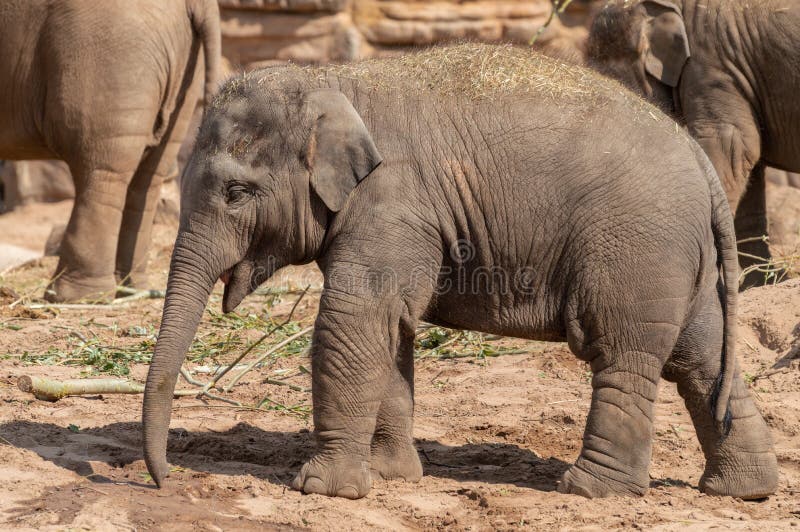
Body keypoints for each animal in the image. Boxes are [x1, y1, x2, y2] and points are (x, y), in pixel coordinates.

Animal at [0, 0, 221, 302]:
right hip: (184, 72)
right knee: (149, 175)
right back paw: (129, 288)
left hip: (107, 54)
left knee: (102, 171)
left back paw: (73, 296)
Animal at [141, 44, 778, 500]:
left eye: (236, 192)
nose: (168, 479)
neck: (332, 78)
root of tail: (701, 162)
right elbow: (391, 329)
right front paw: (391, 477)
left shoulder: (395, 203)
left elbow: (352, 320)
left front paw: (323, 489)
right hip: (682, 262)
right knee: (701, 358)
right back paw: (742, 490)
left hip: (636, 250)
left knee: (623, 354)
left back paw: (589, 490)